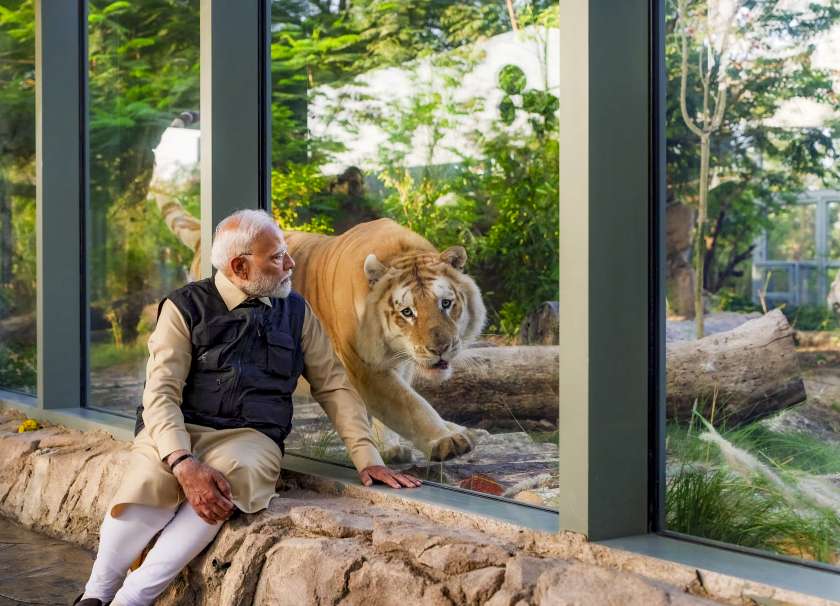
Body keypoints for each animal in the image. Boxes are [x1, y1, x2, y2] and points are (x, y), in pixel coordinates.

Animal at [285, 218, 486, 462]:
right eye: (407, 312)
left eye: (445, 303)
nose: (440, 348)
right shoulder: (365, 368)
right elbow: (409, 405)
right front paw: (447, 441)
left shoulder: (403, 362)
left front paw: (389, 449)